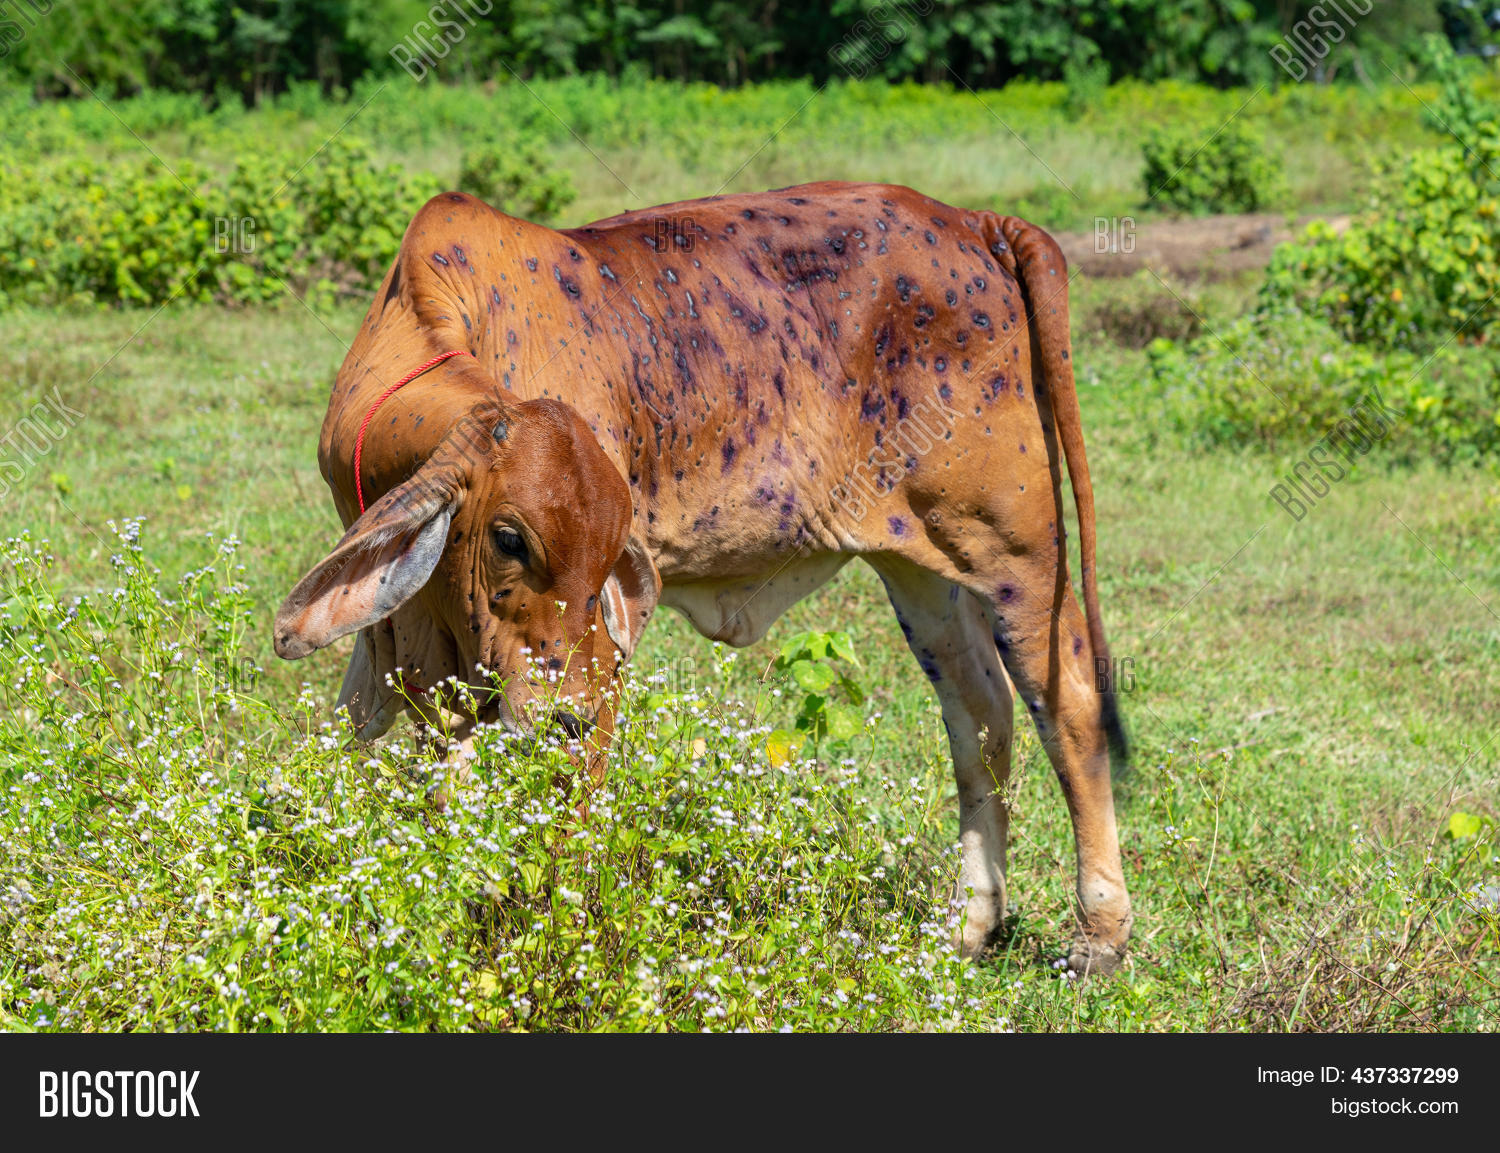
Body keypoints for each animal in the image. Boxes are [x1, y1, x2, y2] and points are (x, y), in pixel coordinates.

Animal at [274, 181, 1132, 974]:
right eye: (510, 537)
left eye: (607, 552)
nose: (566, 714)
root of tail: (976, 221)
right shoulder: (407, 643)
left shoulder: (589, 662)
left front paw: (554, 948)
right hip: (919, 565)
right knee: (980, 713)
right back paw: (968, 924)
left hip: (1017, 544)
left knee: (1069, 700)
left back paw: (1098, 933)